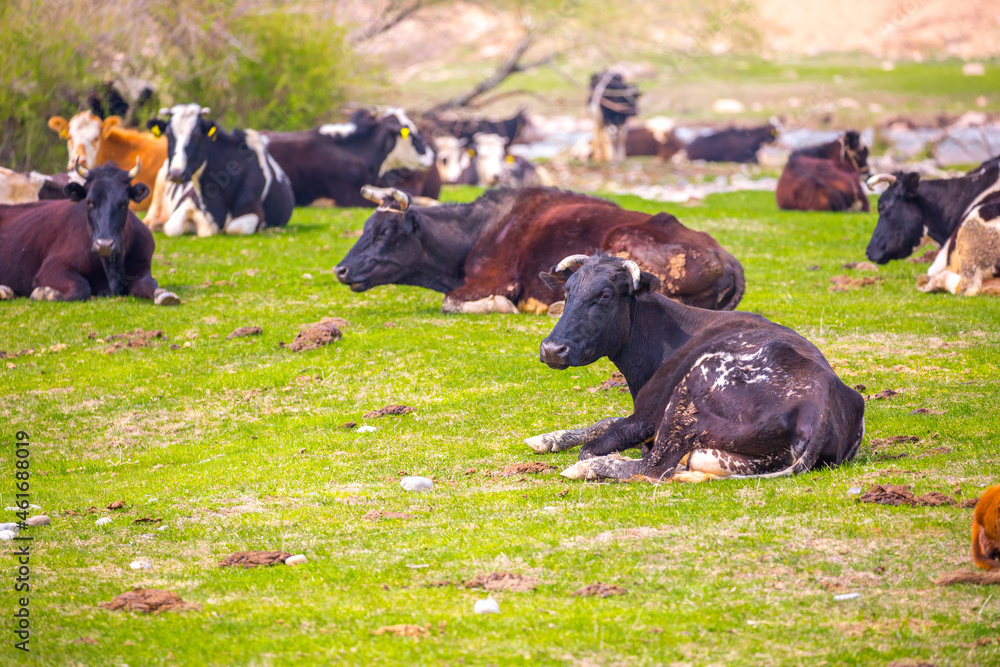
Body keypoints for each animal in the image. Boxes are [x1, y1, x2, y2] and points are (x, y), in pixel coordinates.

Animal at [0, 160, 178, 305]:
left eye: (124, 203)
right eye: (90, 202)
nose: (104, 245)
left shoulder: (141, 268)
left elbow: (151, 283)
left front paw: (164, 295)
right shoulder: (51, 268)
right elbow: (81, 287)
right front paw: (44, 293)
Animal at [147, 105, 294, 235]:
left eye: (197, 135)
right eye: (168, 135)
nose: (177, 174)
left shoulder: (254, 212)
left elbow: (233, 228)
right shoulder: (186, 201)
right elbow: (172, 227)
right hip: (160, 181)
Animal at [334, 187, 745, 315]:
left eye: (386, 231)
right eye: (366, 228)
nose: (340, 270)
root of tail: (728, 258)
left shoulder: (495, 280)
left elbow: (451, 301)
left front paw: (505, 306)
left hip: (623, 242)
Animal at [525, 254, 864, 483]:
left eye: (605, 294)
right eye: (567, 291)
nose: (552, 349)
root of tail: (824, 399)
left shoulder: (646, 417)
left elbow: (602, 438)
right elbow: (607, 420)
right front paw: (548, 438)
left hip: (693, 387)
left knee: (653, 466)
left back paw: (587, 468)